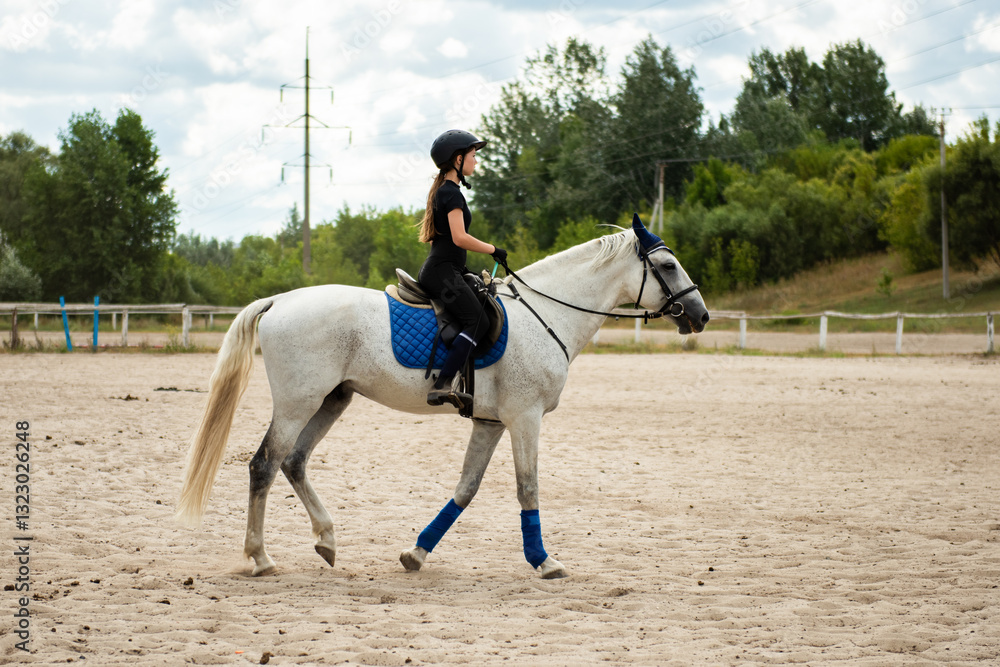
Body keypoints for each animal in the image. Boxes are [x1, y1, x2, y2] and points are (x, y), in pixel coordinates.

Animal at [176, 215, 709, 579]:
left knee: (295, 462)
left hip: (333, 400)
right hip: (297, 402)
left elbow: (466, 489)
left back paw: (326, 541)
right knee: (264, 464)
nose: (700, 315)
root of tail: (280, 301)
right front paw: (544, 561)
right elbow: (528, 488)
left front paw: (416, 553)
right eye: (667, 265)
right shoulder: (525, 417)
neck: (546, 315)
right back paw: (260, 557)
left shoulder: (490, 422)